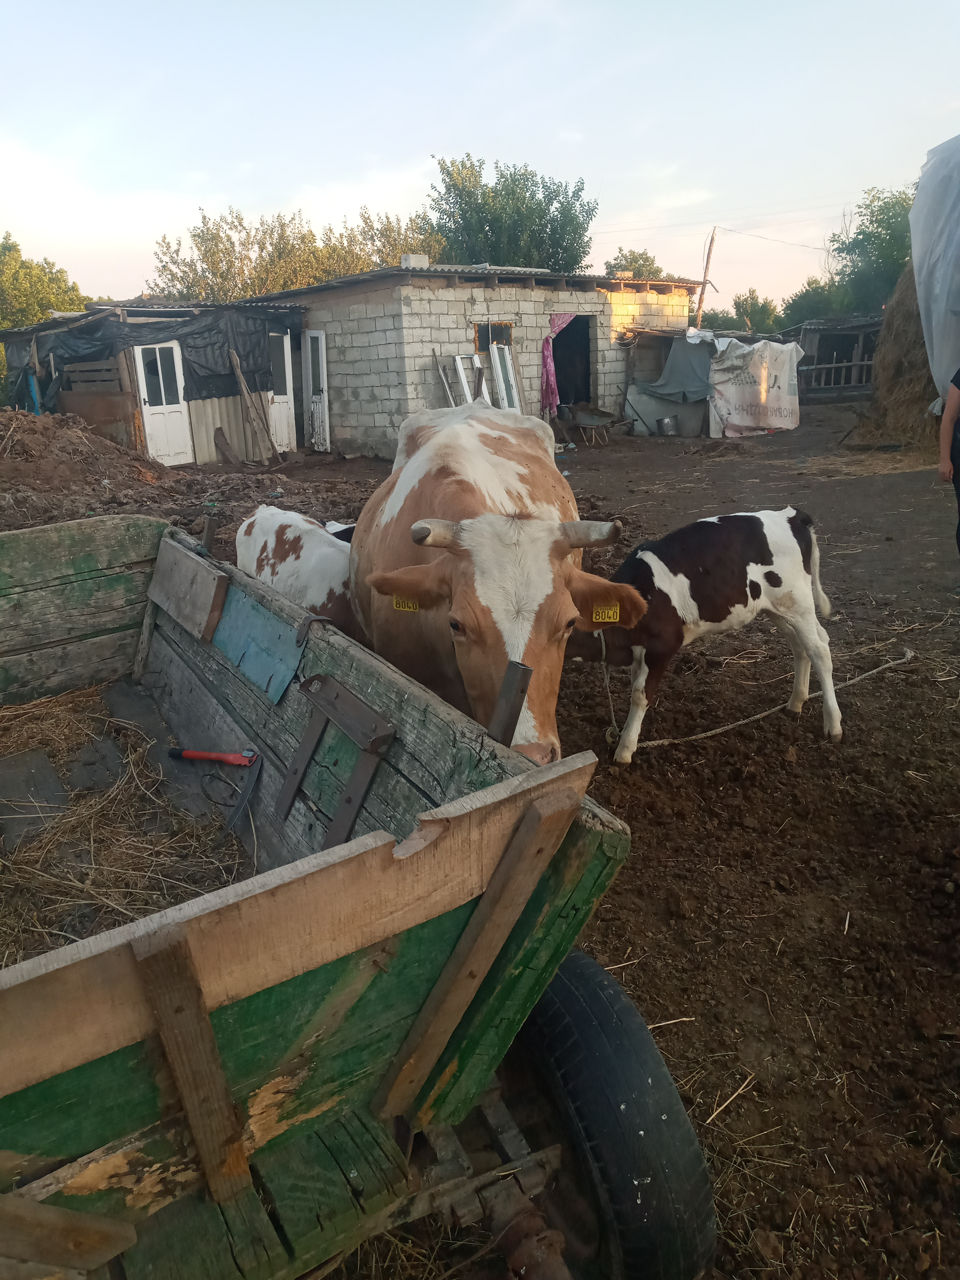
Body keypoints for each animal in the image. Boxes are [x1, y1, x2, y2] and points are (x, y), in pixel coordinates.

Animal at [566, 507, 842, 764]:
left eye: (567, 623)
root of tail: (791, 515)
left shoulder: (661, 646)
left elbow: (640, 694)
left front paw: (624, 749)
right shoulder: (640, 651)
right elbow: (636, 686)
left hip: (798, 602)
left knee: (819, 649)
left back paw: (833, 724)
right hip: (777, 608)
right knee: (800, 645)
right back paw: (796, 703)